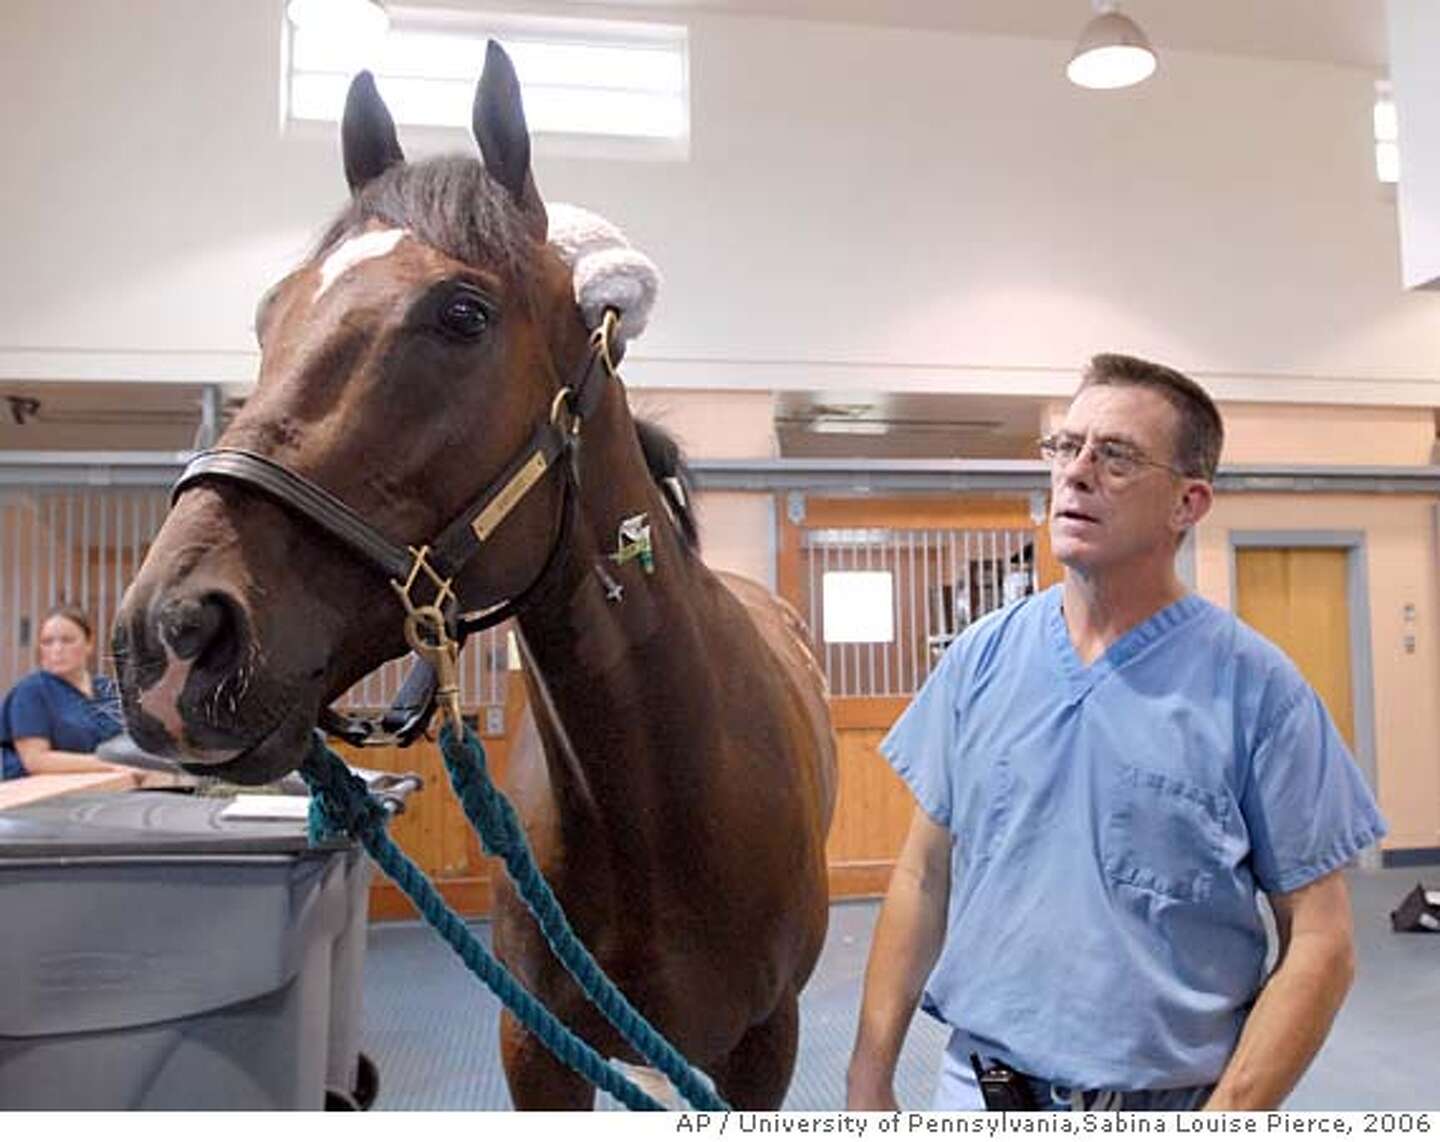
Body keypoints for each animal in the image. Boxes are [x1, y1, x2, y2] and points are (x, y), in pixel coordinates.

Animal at [113, 42, 837, 1111]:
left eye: (462, 313)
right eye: (269, 312)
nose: (170, 639)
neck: (668, 797)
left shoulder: (760, 1052)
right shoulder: (537, 1048)